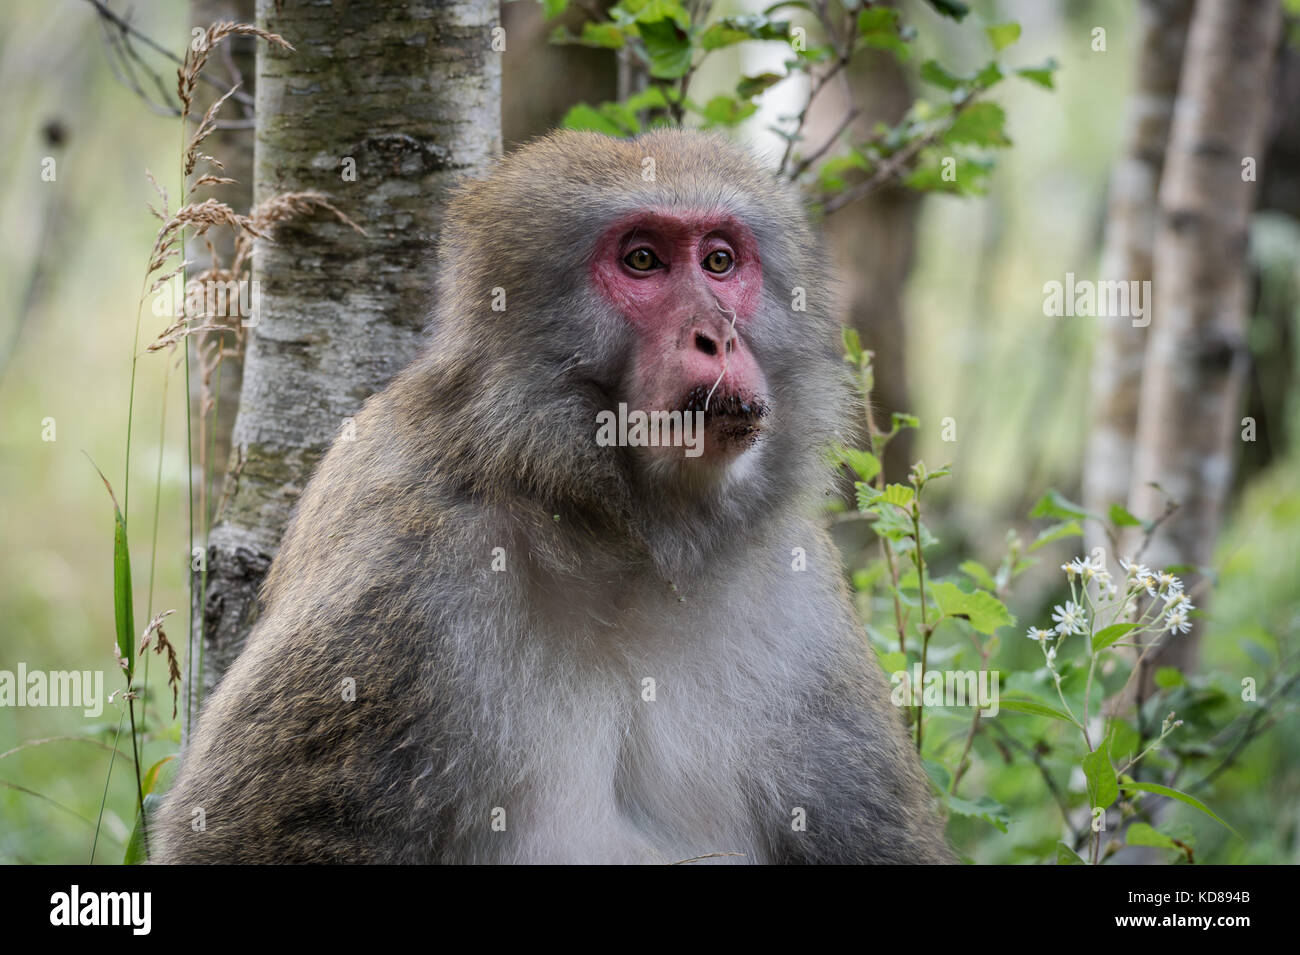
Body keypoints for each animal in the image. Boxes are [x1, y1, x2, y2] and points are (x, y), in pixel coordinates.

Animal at [154, 128, 952, 865]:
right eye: (642, 261)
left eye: (720, 262)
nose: (718, 337)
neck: (624, 533)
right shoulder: (402, 567)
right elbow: (237, 836)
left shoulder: (799, 591)